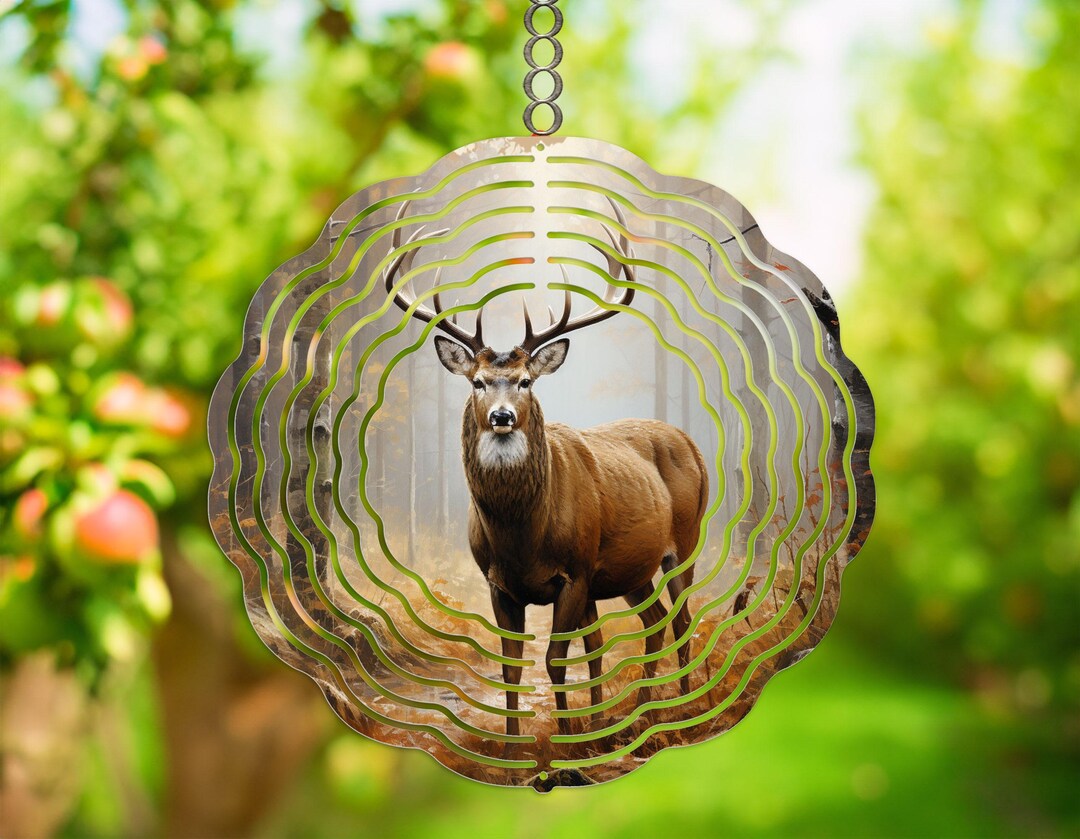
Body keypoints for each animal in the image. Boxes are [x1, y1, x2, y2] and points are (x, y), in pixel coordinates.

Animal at [384, 219, 708, 736]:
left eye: (526, 381)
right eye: (477, 382)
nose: (500, 417)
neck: (522, 538)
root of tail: (691, 444)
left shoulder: (575, 571)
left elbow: (557, 658)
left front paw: (569, 736)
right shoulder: (498, 582)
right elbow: (515, 665)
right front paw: (521, 741)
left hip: (686, 538)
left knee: (681, 619)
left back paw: (685, 706)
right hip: (631, 567)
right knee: (655, 622)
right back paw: (640, 711)